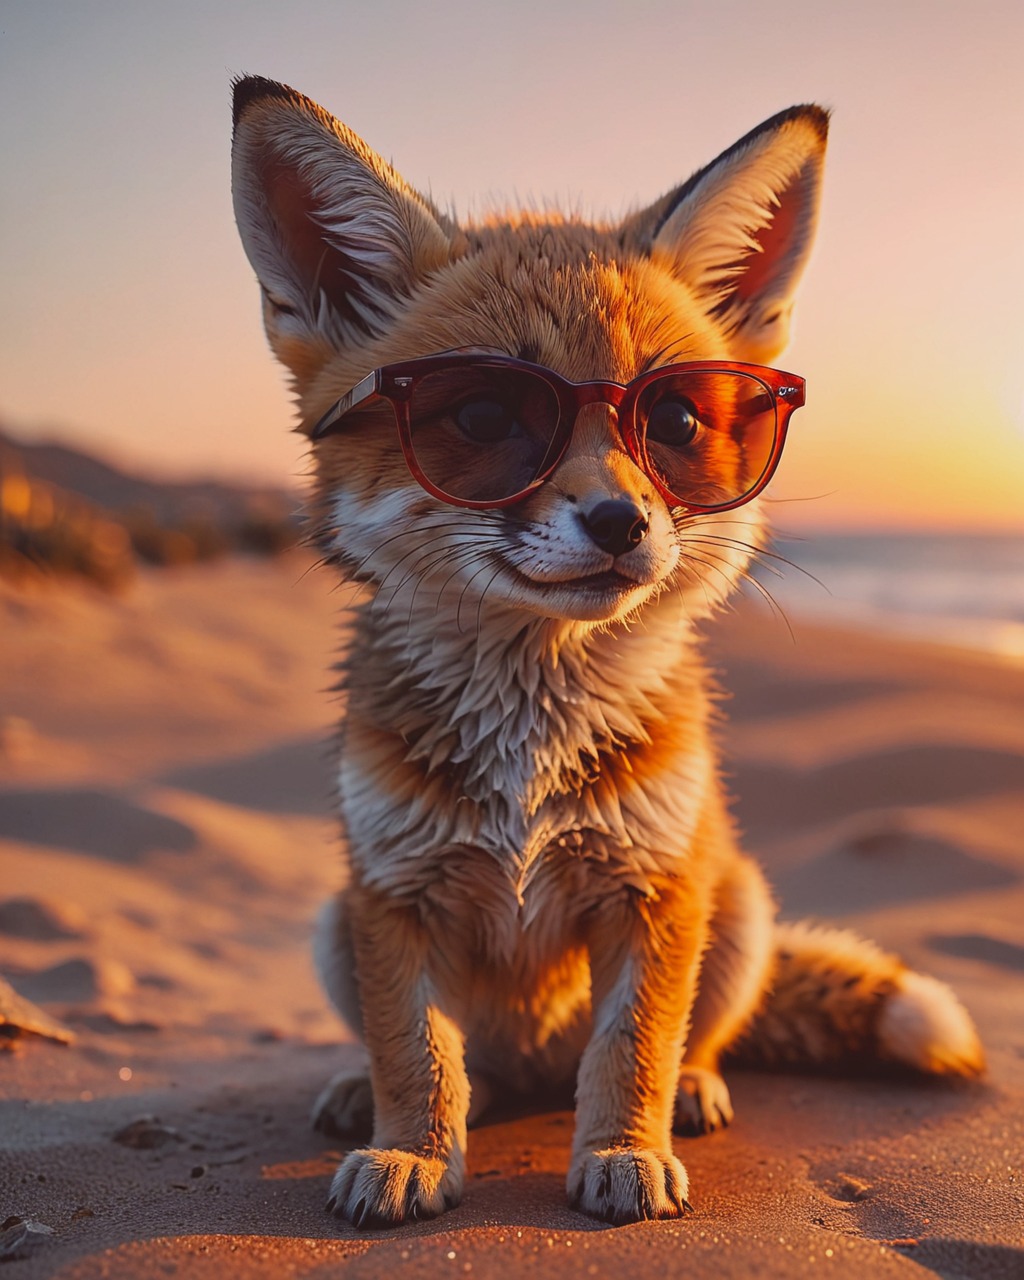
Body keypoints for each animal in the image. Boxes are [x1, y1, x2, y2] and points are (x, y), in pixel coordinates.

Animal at [230, 76, 984, 1227]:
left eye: (675, 420)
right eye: (484, 415)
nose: (622, 523)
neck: (528, 763)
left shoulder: (649, 888)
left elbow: (632, 1046)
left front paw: (625, 1147)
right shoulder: (395, 889)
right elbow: (416, 1051)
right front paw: (410, 1148)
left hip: (734, 903)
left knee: (682, 1039)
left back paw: (693, 1090)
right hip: (335, 922)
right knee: (467, 1067)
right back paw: (390, 1095)